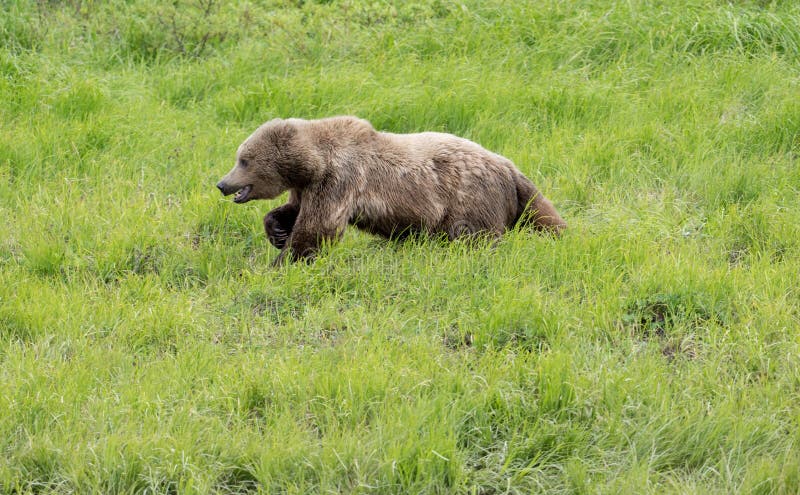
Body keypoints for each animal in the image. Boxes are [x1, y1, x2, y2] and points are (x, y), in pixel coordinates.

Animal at [216, 116, 566, 265]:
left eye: (243, 159)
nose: (222, 184)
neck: (315, 162)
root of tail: (508, 166)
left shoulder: (341, 178)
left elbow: (319, 226)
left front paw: (282, 260)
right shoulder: (309, 185)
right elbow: (296, 210)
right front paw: (276, 230)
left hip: (470, 197)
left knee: (473, 236)